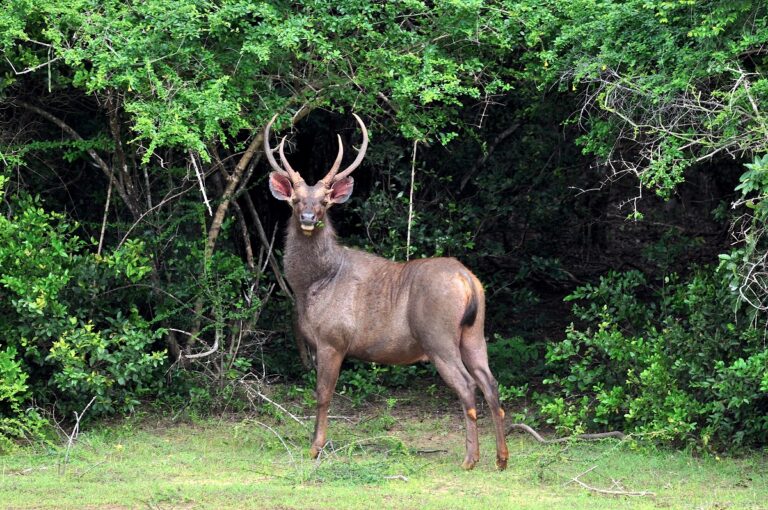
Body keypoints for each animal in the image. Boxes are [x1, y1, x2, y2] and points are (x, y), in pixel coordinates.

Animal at [264, 113, 509, 470]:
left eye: (324, 202)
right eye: (295, 200)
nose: (308, 217)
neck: (312, 285)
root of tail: (468, 281)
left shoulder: (333, 339)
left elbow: (323, 394)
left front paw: (315, 447)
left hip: (437, 335)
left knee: (467, 386)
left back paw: (470, 459)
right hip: (474, 332)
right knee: (490, 383)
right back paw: (501, 459)